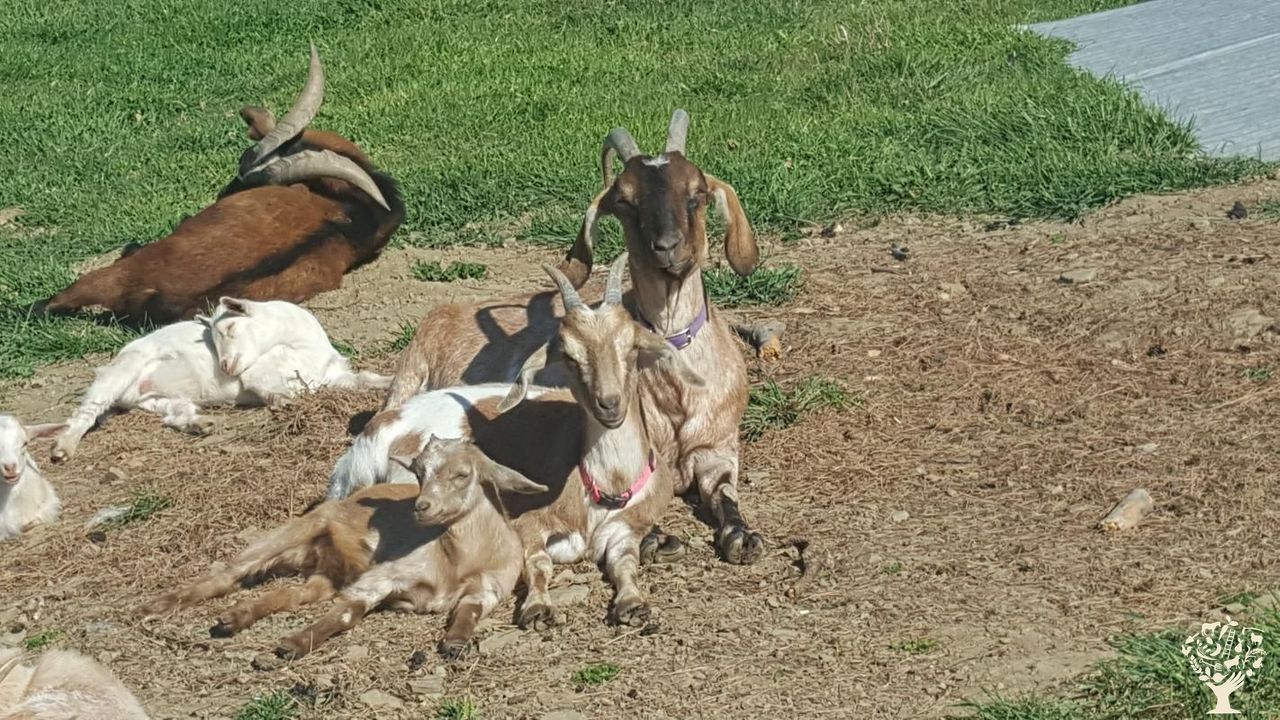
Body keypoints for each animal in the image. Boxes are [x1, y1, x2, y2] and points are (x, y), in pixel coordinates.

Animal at [33, 44, 405, 326]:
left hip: (112, 275)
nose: (219, 198)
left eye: (247, 183)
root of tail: (165, 298)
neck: (355, 206)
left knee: (46, 304)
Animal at [52, 297, 388, 461]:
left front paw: (386, 382)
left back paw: (201, 425)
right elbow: (277, 391)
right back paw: (63, 448)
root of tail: (133, 394)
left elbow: (364, 378)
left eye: (229, 328)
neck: (307, 349)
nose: (225, 366)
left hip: (159, 400)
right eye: (213, 337)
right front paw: (285, 404)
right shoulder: (259, 375)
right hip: (120, 371)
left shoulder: (332, 375)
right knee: (86, 412)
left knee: (173, 416)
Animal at [139, 436, 546, 662]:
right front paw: (293, 644)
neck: (457, 560)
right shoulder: (385, 574)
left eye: (462, 474)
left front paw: (456, 643)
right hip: (306, 525)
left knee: (291, 594)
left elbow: (468, 613)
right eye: (418, 473)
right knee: (232, 569)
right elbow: (348, 614)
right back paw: (158, 605)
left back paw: (234, 618)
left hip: (327, 574)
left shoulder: (489, 587)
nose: (421, 507)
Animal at [329, 255, 705, 627]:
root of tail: (381, 429)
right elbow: (539, 563)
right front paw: (537, 608)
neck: (608, 486)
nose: (609, 404)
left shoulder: (626, 529)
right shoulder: (529, 524)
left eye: (630, 346)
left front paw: (632, 603)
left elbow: (624, 564)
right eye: (569, 355)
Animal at [380, 110, 763, 564]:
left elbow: (724, 492)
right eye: (625, 201)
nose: (668, 248)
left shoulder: (717, 447)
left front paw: (743, 536)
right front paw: (656, 537)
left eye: (697, 193)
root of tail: (442, 315)